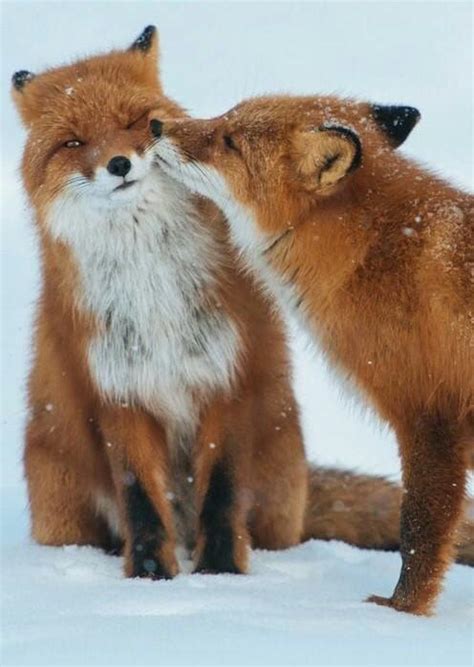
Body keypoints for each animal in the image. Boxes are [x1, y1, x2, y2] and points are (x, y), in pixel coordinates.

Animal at [149, 95, 474, 613]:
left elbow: (418, 532)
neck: (376, 252)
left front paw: (402, 611)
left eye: (229, 141)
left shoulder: (430, 416)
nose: (156, 125)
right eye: (225, 116)